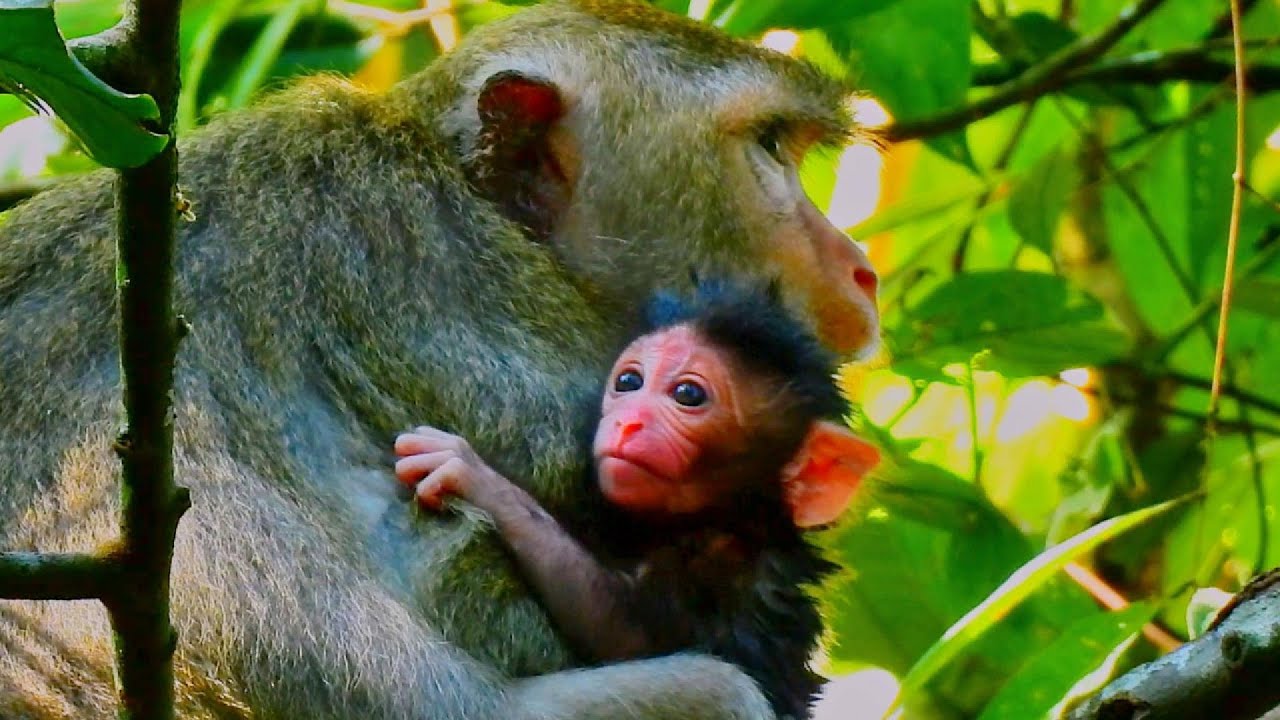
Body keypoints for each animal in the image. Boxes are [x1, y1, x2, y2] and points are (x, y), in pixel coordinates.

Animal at [393, 281, 881, 720]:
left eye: (688, 394)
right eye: (629, 381)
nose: (628, 423)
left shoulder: (723, 561)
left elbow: (627, 631)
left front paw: (482, 481)